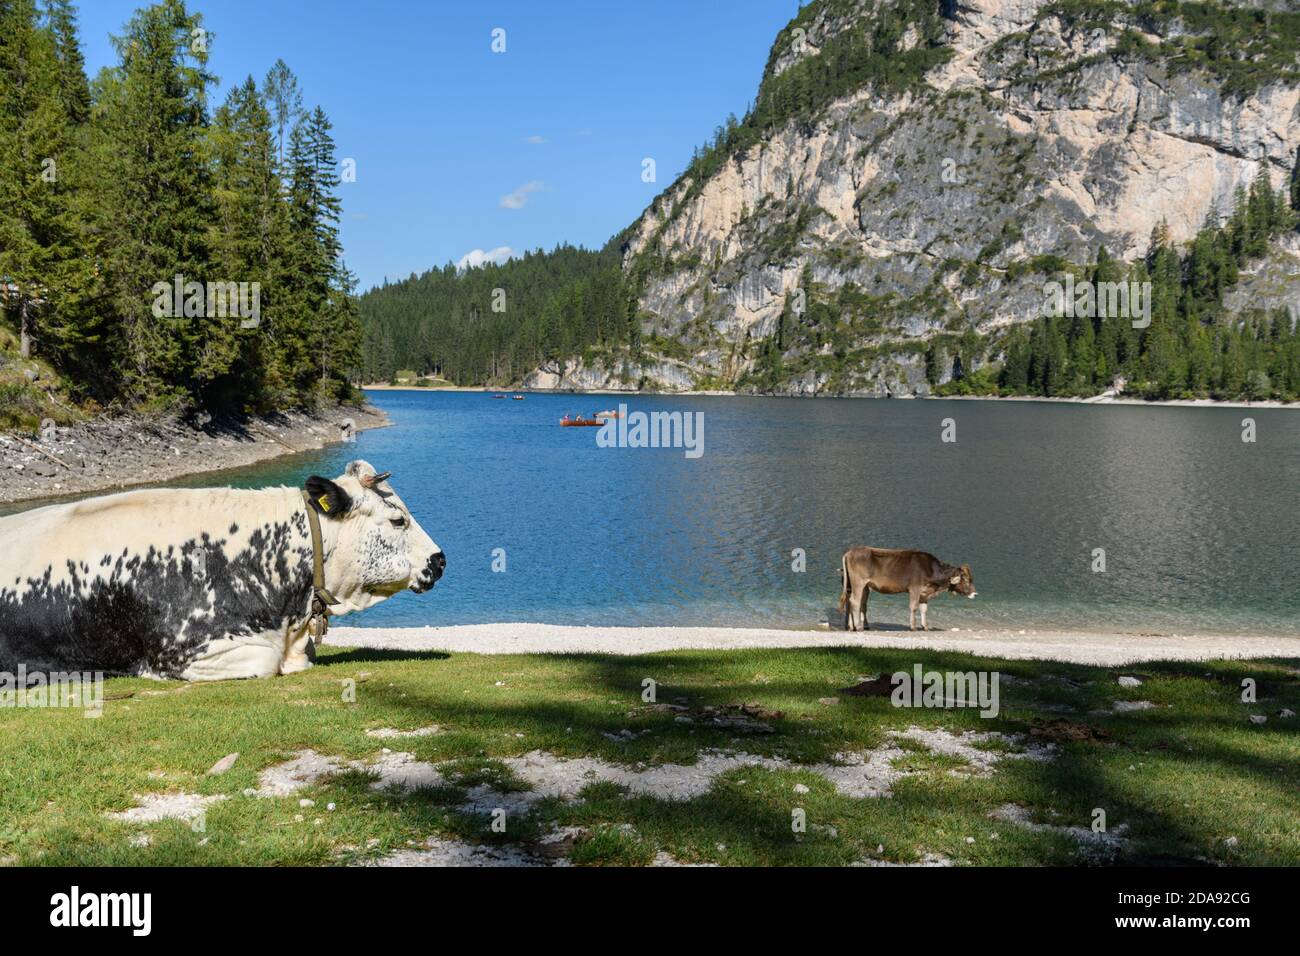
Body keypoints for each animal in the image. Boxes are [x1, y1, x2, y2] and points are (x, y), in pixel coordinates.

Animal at [838, 547, 975, 632]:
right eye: (966, 580)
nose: (975, 593)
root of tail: (851, 551)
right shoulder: (915, 588)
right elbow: (913, 607)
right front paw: (913, 626)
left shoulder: (924, 593)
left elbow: (924, 609)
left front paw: (925, 626)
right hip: (859, 583)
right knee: (855, 602)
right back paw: (858, 626)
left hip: (854, 585)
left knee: (851, 602)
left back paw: (851, 626)